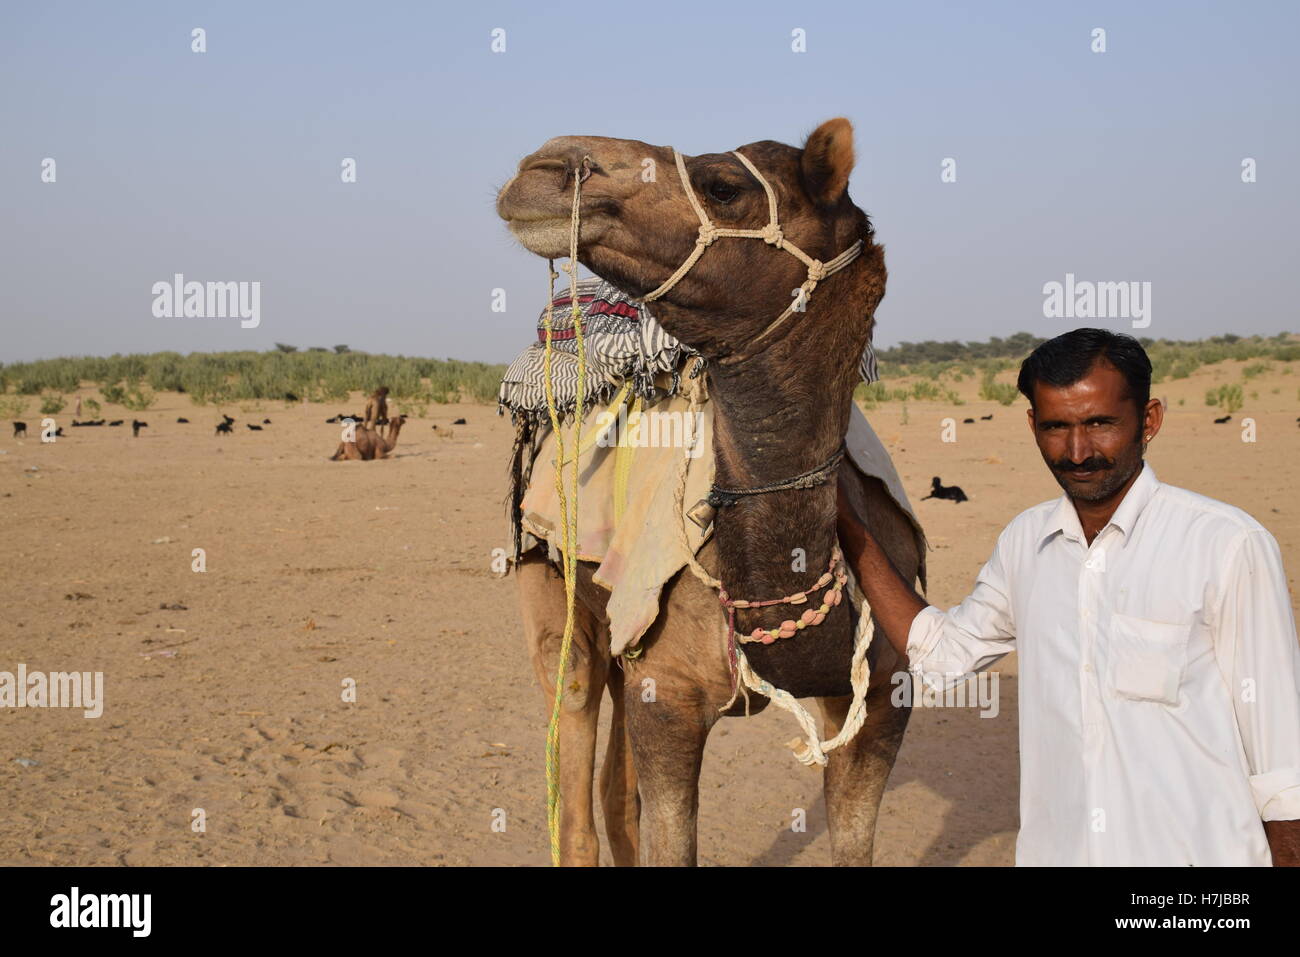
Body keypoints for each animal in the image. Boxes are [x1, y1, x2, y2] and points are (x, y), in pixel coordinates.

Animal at [497, 118, 926, 865]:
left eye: (724, 187)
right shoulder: (668, 696)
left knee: (617, 796)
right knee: (576, 755)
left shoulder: (879, 700)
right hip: (548, 581)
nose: (545, 165)